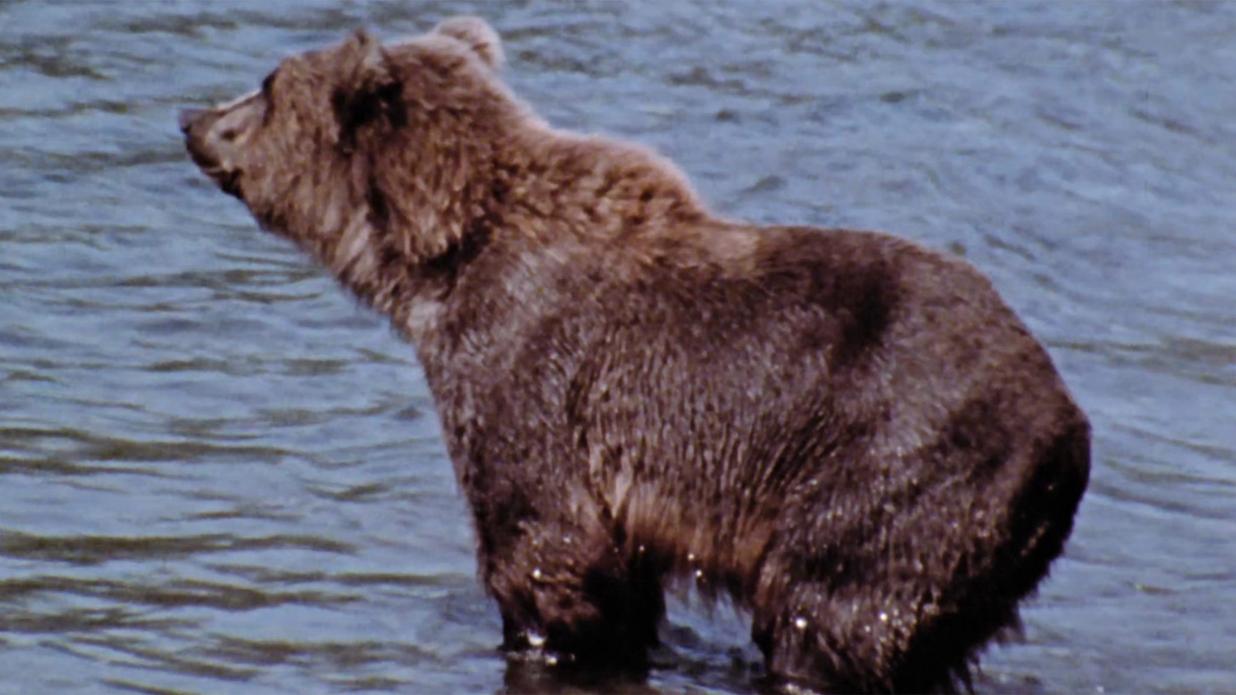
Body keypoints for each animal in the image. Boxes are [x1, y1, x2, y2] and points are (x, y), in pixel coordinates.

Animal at [180, 17, 1089, 693]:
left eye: (267, 85)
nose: (190, 119)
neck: (436, 261)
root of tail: (1071, 430)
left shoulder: (525, 367)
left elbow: (547, 545)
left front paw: (544, 636)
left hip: (897, 466)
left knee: (826, 611)